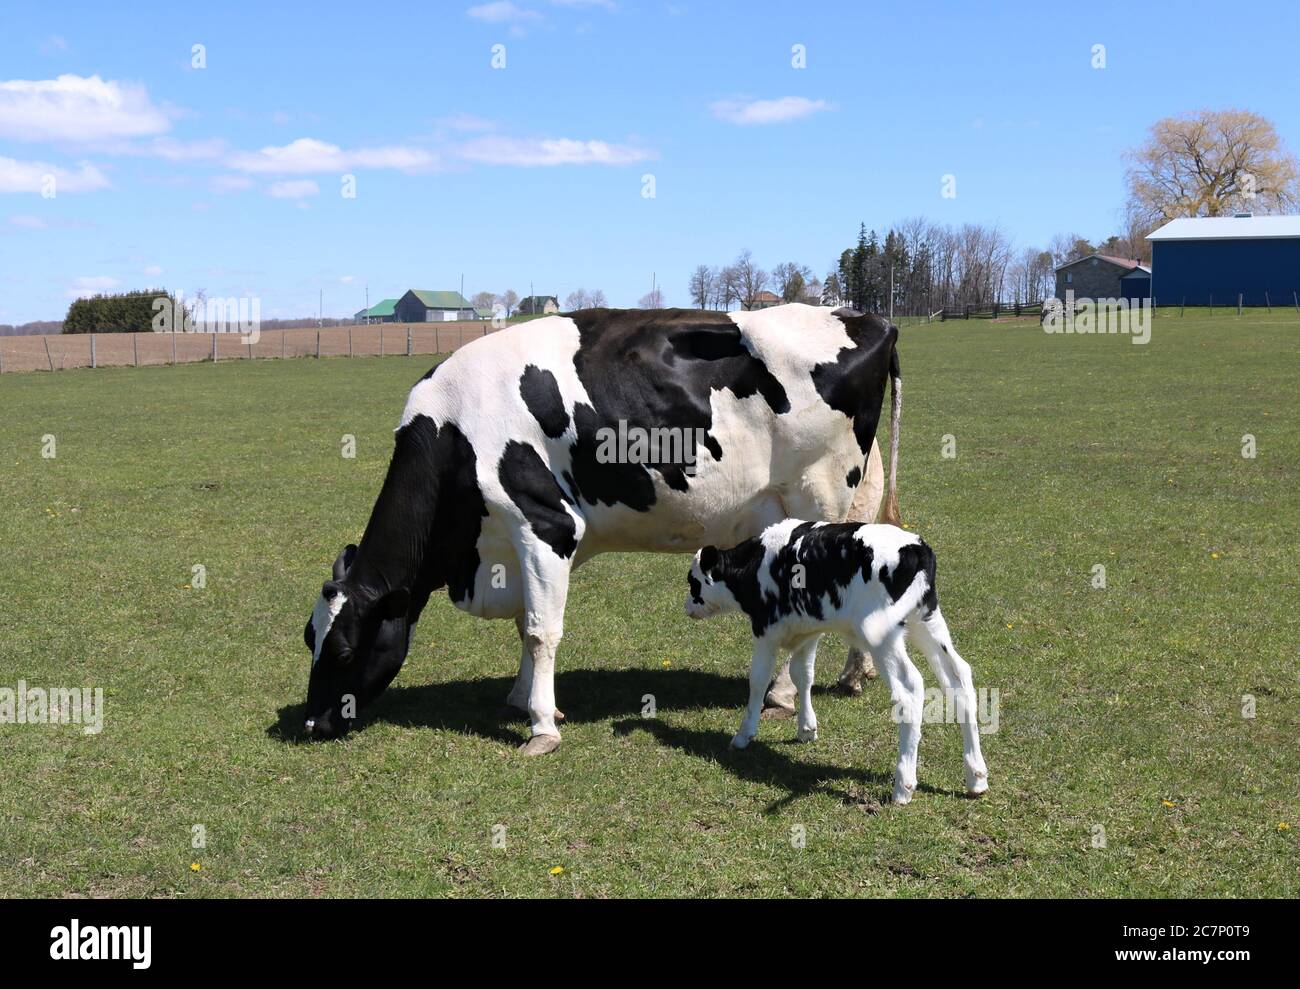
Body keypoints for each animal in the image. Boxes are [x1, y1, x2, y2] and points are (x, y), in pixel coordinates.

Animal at [302, 304, 902, 754]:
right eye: (310, 638)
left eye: (344, 653)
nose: (312, 724)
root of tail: (866, 317)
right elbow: (525, 625)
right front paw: (522, 697)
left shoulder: (546, 524)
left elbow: (541, 629)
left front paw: (541, 725)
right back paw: (855, 674)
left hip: (816, 494)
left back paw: (780, 696)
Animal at [684, 520, 989, 804]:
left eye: (693, 581)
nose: (687, 607)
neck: (757, 561)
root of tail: (915, 547)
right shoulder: (807, 631)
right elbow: (802, 674)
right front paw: (807, 728)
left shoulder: (764, 630)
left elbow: (758, 679)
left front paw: (744, 735)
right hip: (926, 621)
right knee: (958, 677)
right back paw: (976, 777)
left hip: (884, 636)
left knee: (910, 687)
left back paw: (903, 786)